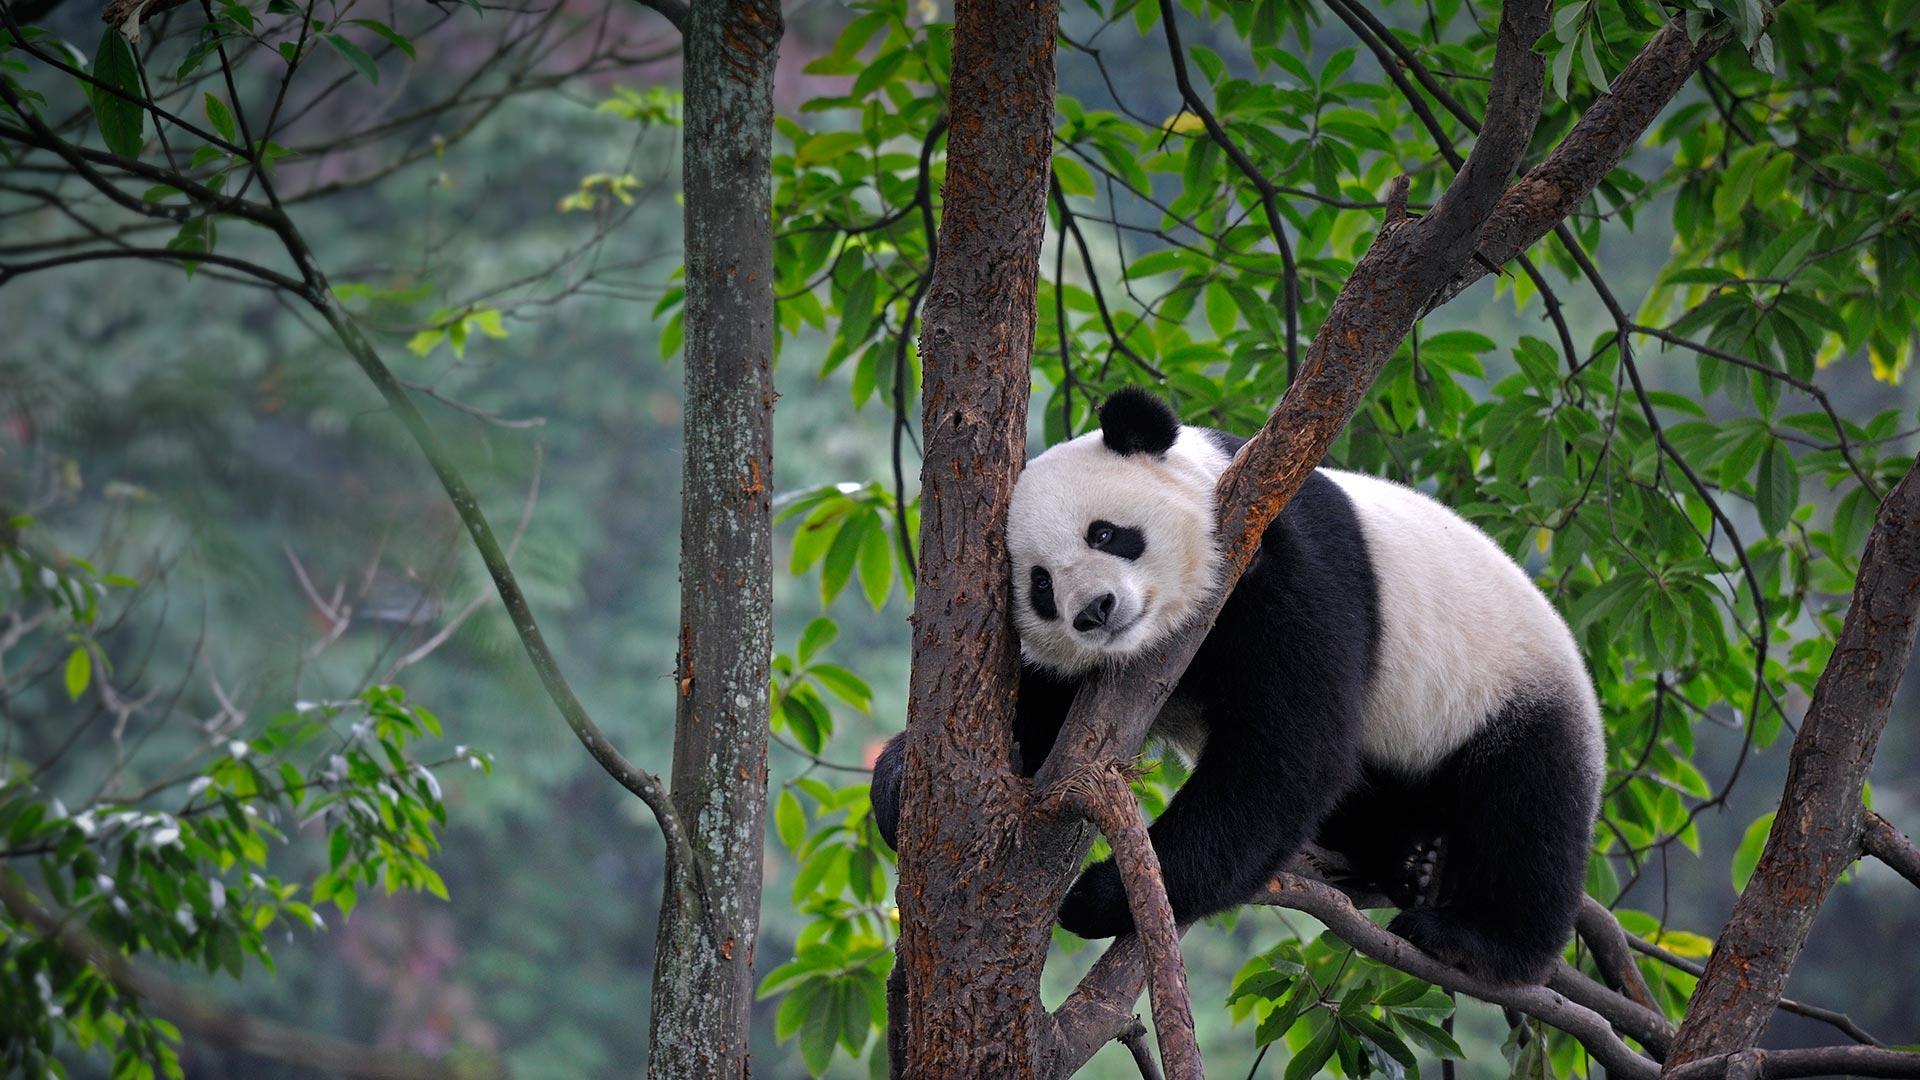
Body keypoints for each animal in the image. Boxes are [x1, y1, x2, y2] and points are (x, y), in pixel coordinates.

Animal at [872, 387, 1604, 984]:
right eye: (1042, 587)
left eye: (1106, 533)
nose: (1096, 611)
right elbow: (1041, 718)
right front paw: (902, 784)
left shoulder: (1284, 560)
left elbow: (1288, 748)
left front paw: (1103, 895)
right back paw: (1409, 859)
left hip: (1508, 684)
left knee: (1527, 806)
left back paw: (1472, 939)